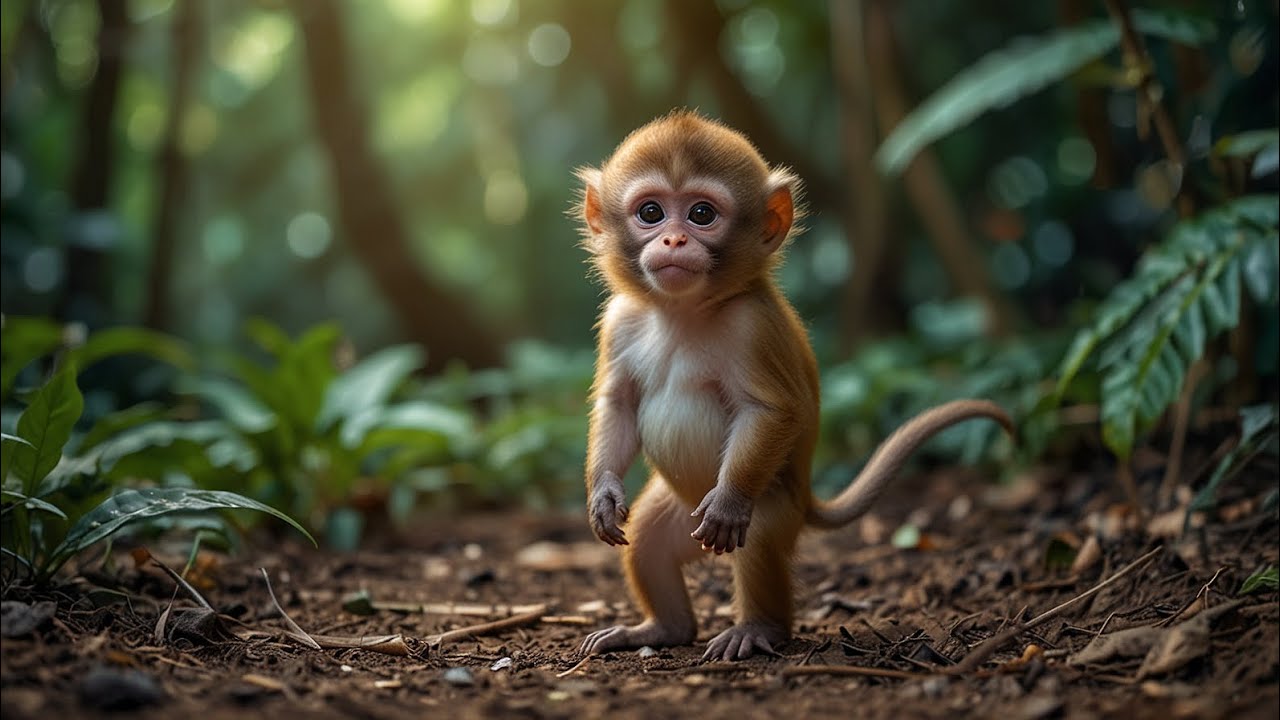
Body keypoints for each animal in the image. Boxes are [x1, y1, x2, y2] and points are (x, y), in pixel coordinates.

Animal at [574, 110, 1013, 662]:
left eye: (701, 214)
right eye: (650, 212)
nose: (673, 240)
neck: (682, 313)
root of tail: (807, 498)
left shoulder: (752, 326)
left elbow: (772, 412)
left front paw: (730, 501)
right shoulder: (621, 319)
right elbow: (618, 402)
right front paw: (603, 494)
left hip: (772, 507)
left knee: (759, 537)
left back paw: (758, 627)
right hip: (679, 512)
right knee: (651, 541)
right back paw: (662, 629)